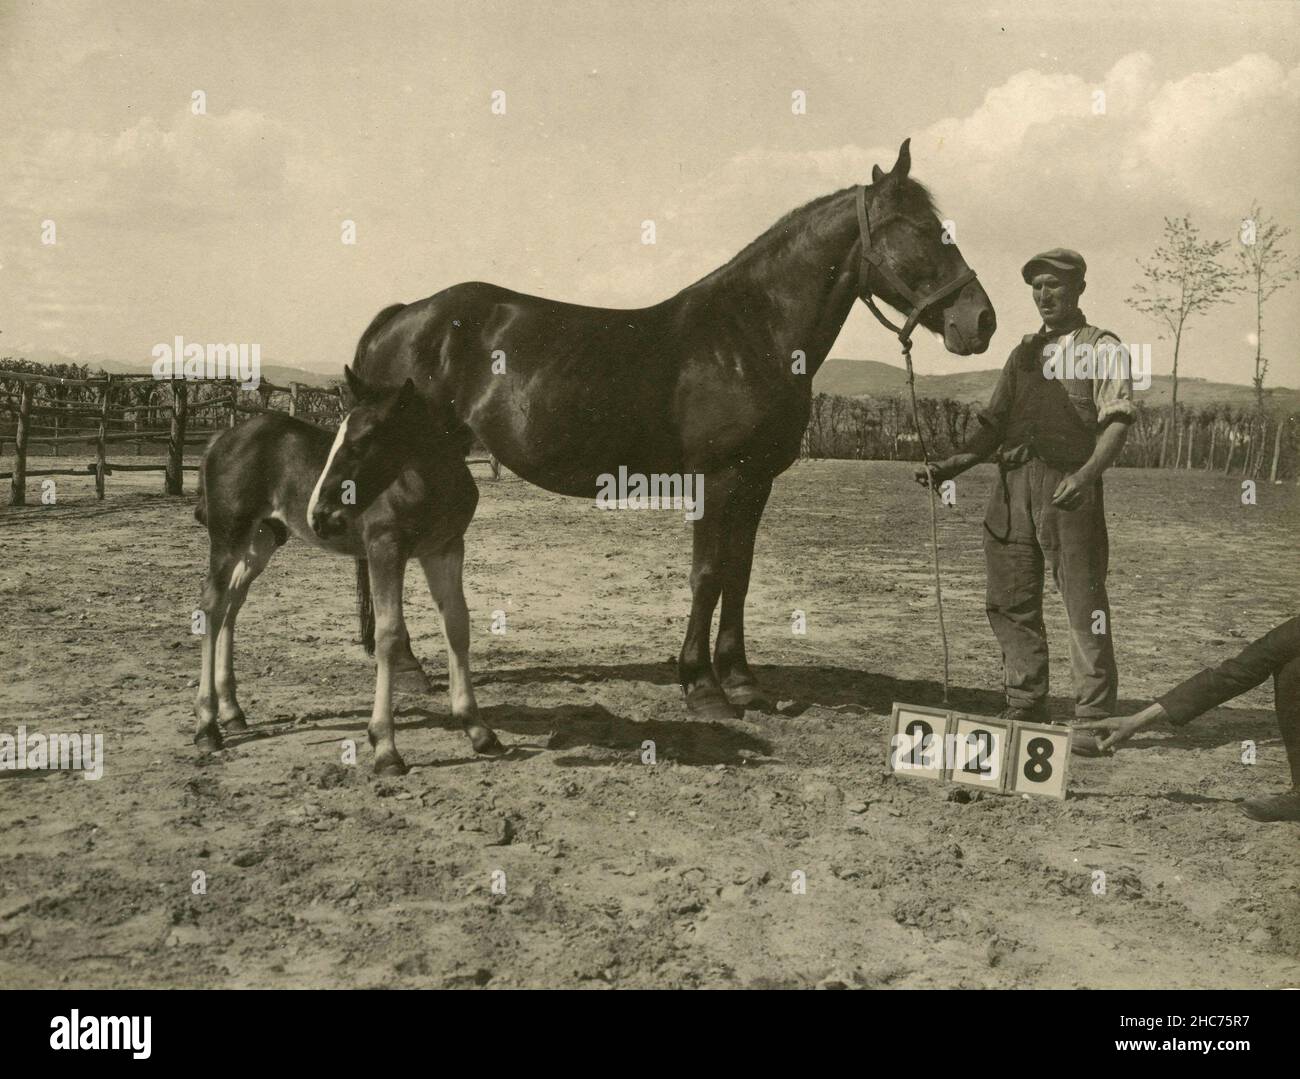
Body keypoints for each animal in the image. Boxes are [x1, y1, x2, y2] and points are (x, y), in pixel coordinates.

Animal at [192, 381, 503, 774]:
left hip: (263, 539)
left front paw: (477, 728)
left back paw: (232, 711)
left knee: (231, 604)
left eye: (364, 439)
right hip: (229, 536)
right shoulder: (384, 549)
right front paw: (385, 747)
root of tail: (221, 437)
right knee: (212, 604)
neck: (425, 483)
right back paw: (207, 726)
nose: (319, 515)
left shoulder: (446, 549)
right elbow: (388, 635)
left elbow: (457, 626)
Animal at [315, 140, 997, 720]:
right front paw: (702, 686)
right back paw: (406, 668)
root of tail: (403, 315)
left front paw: (742, 681)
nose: (982, 321)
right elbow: (707, 575)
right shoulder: (717, 480)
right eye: (920, 230)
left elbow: (739, 575)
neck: (748, 335)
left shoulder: (757, 483)